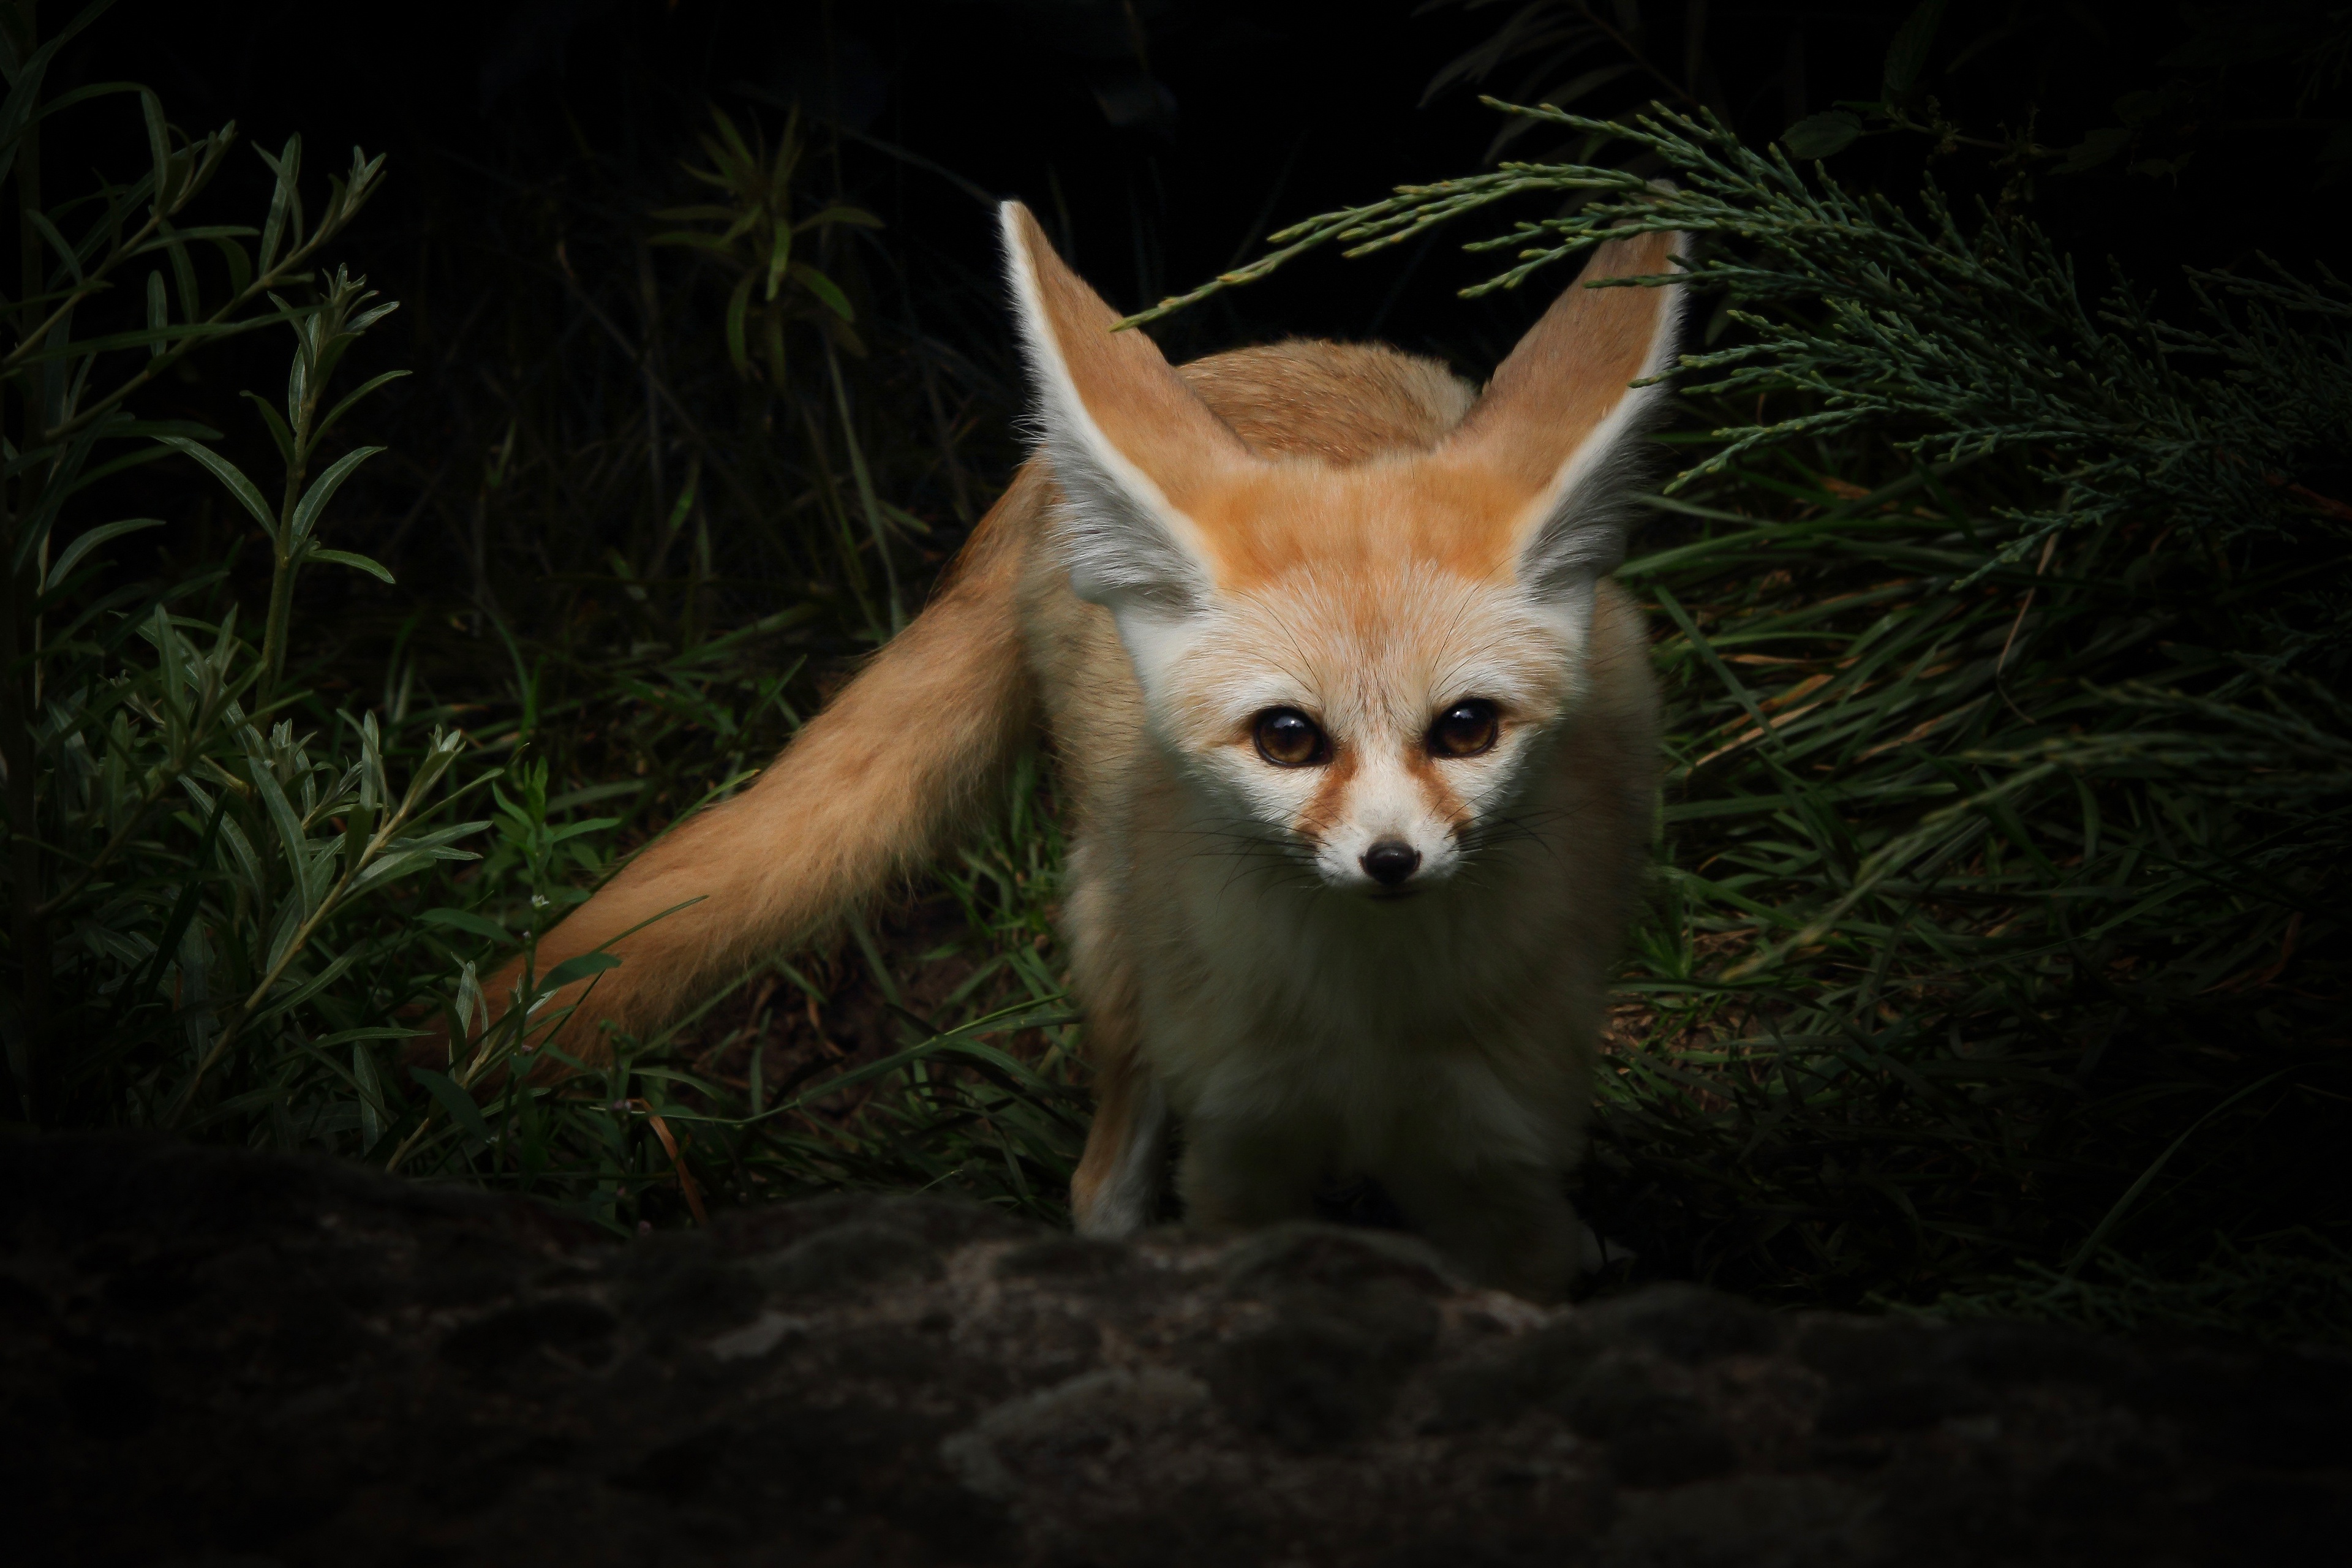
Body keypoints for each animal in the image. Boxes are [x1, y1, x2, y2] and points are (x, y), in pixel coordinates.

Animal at [471, 202, 1686, 1301]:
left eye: (1466, 728)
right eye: (1288, 738)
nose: (1392, 862)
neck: (1368, 1020)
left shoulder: (1499, 1148)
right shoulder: (1242, 1148)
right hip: (1117, 955)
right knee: (1101, 1178)